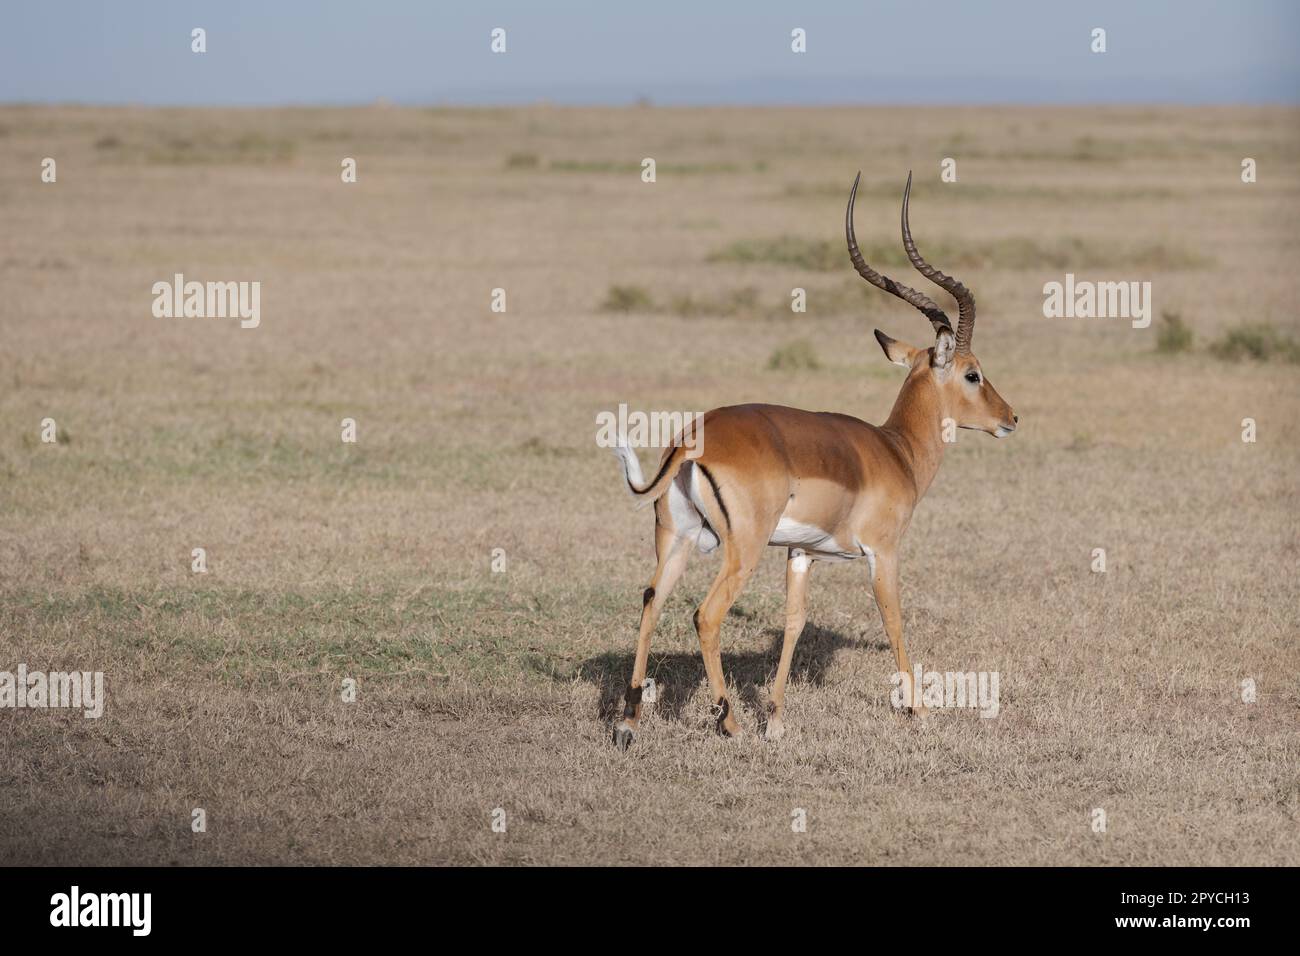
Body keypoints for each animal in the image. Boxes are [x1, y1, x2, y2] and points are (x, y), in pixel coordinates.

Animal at [610, 172, 1017, 749]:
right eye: (973, 373)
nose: (1010, 417)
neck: (896, 450)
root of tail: (693, 438)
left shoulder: (799, 554)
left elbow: (794, 622)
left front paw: (777, 719)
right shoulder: (883, 552)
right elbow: (894, 620)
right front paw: (919, 712)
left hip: (677, 539)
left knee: (651, 600)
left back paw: (628, 722)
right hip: (740, 550)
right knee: (705, 615)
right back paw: (728, 720)